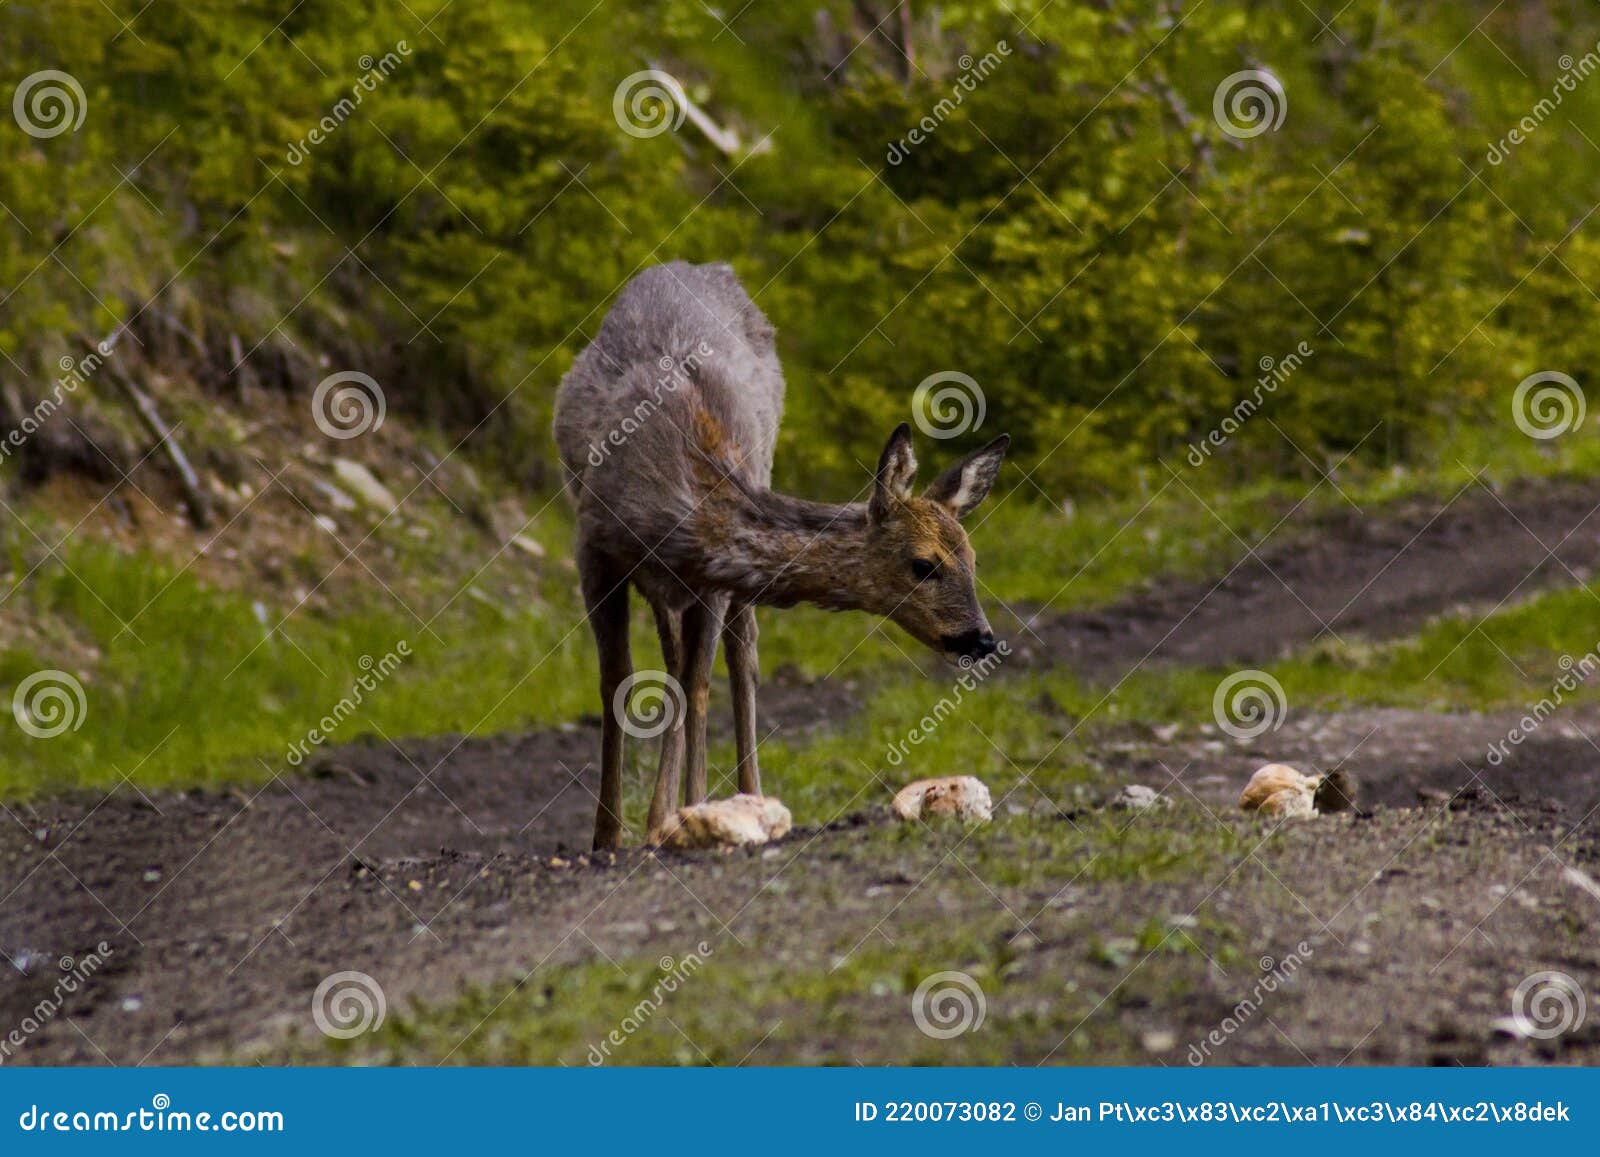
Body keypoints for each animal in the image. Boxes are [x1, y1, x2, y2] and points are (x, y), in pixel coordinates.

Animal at [554, 261, 1010, 849]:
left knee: (737, 657)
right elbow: (617, 681)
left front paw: (680, 813)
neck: (675, 497)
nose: (982, 638)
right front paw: (608, 835)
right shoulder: (593, 546)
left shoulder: (710, 580)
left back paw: (743, 794)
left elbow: (696, 683)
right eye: (924, 564)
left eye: (974, 559)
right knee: (680, 658)